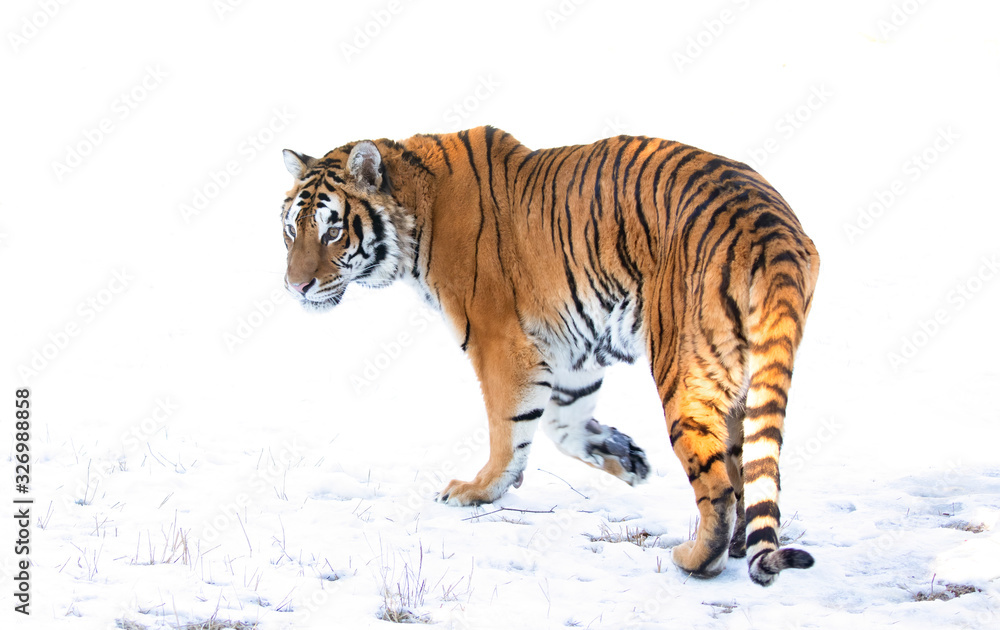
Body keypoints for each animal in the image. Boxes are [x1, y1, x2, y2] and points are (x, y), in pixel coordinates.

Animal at [278, 125, 819, 586]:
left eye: (332, 231)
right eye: (290, 230)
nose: (295, 286)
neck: (416, 210)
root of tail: (771, 224)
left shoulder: (500, 343)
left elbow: (507, 428)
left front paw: (478, 490)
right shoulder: (569, 350)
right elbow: (564, 426)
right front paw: (624, 457)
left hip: (684, 371)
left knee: (720, 488)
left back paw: (696, 559)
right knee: (747, 472)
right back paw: (735, 546)